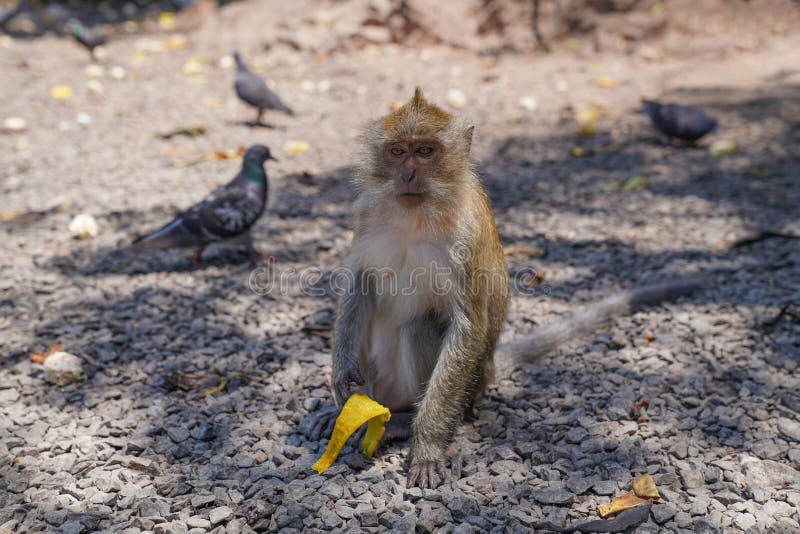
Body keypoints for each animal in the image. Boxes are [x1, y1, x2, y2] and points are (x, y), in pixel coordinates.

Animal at [302, 88, 702, 489]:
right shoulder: (366, 213)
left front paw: (427, 446)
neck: (416, 215)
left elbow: (467, 326)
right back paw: (342, 411)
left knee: (422, 326)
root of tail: (490, 372)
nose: (409, 173)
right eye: (398, 151)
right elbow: (359, 283)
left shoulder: (467, 234)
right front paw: (340, 375)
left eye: (426, 151)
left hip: (467, 386)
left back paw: (401, 421)